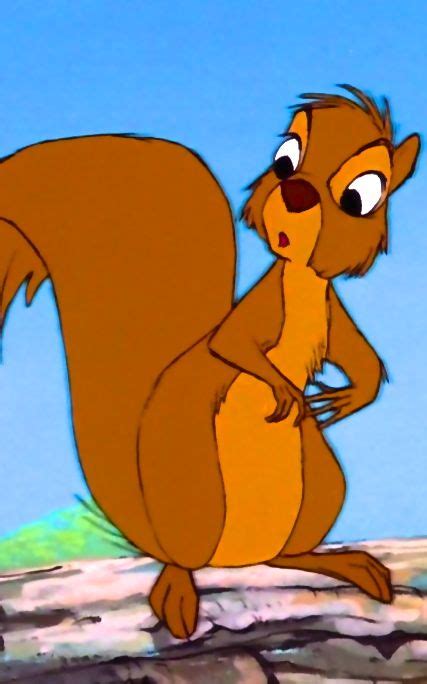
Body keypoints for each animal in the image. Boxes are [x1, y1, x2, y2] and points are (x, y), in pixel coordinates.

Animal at [0, 85, 420, 640]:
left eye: (362, 196)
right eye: (284, 160)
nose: (297, 195)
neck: (302, 283)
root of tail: (231, 558)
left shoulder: (335, 313)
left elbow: (365, 363)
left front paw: (343, 398)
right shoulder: (257, 313)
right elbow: (232, 346)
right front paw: (285, 389)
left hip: (323, 483)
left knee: (287, 555)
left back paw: (344, 562)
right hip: (195, 489)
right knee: (182, 559)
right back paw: (178, 592)